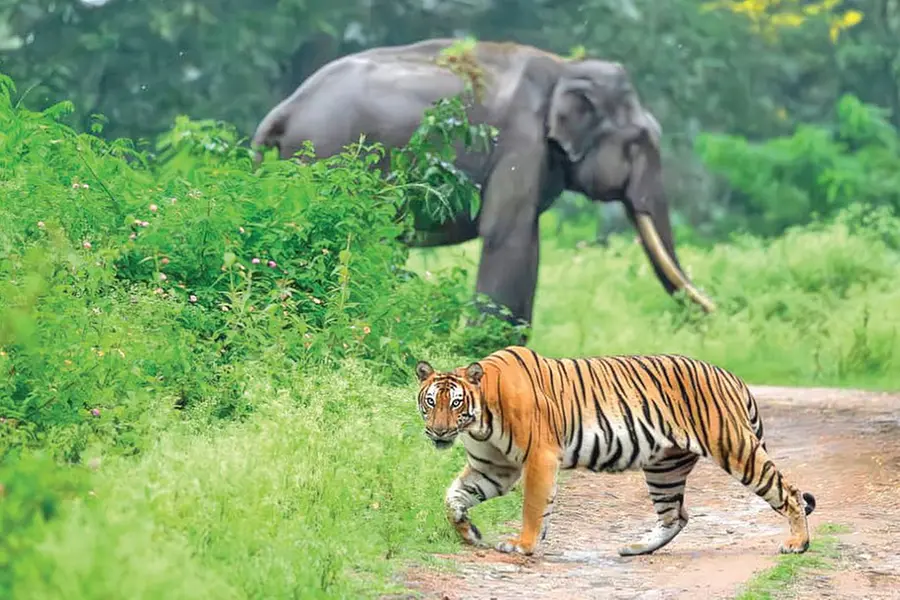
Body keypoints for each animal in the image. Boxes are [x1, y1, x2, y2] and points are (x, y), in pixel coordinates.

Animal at [414, 345, 816, 557]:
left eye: (455, 403)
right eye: (431, 402)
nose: (438, 431)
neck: (479, 421)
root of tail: (730, 375)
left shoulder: (539, 457)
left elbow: (532, 506)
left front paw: (522, 544)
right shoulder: (493, 469)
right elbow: (452, 497)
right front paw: (469, 532)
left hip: (735, 448)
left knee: (789, 491)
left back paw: (797, 543)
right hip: (664, 467)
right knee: (676, 515)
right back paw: (637, 547)